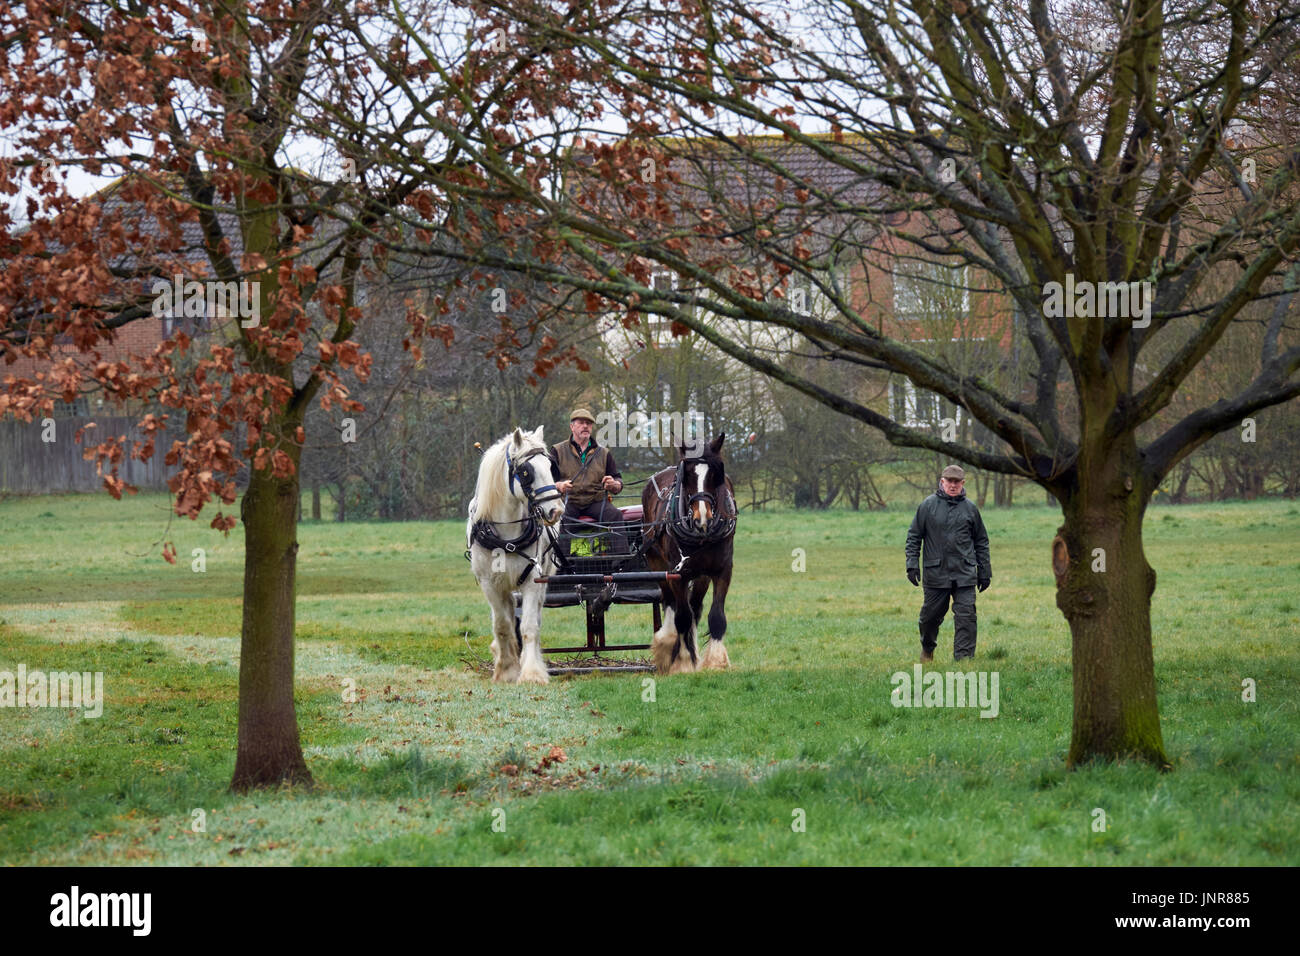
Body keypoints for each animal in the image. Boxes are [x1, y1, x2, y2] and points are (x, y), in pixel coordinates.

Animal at [466, 427, 564, 684]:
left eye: (550, 466)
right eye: (525, 471)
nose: (556, 510)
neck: (507, 537)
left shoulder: (532, 580)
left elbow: (529, 627)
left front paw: (531, 673)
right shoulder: (489, 584)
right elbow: (502, 625)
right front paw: (506, 670)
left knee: (534, 618)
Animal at [641, 433, 737, 674]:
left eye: (715, 474)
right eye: (688, 476)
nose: (702, 517)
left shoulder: (722, 570)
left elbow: (716, 617)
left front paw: (716, 662)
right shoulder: (677, 573)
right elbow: (682, 617)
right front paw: (682, 661)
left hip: (700, 574)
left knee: (694, 607)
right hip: (657, 564)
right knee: (670, 603)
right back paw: (667, 646)